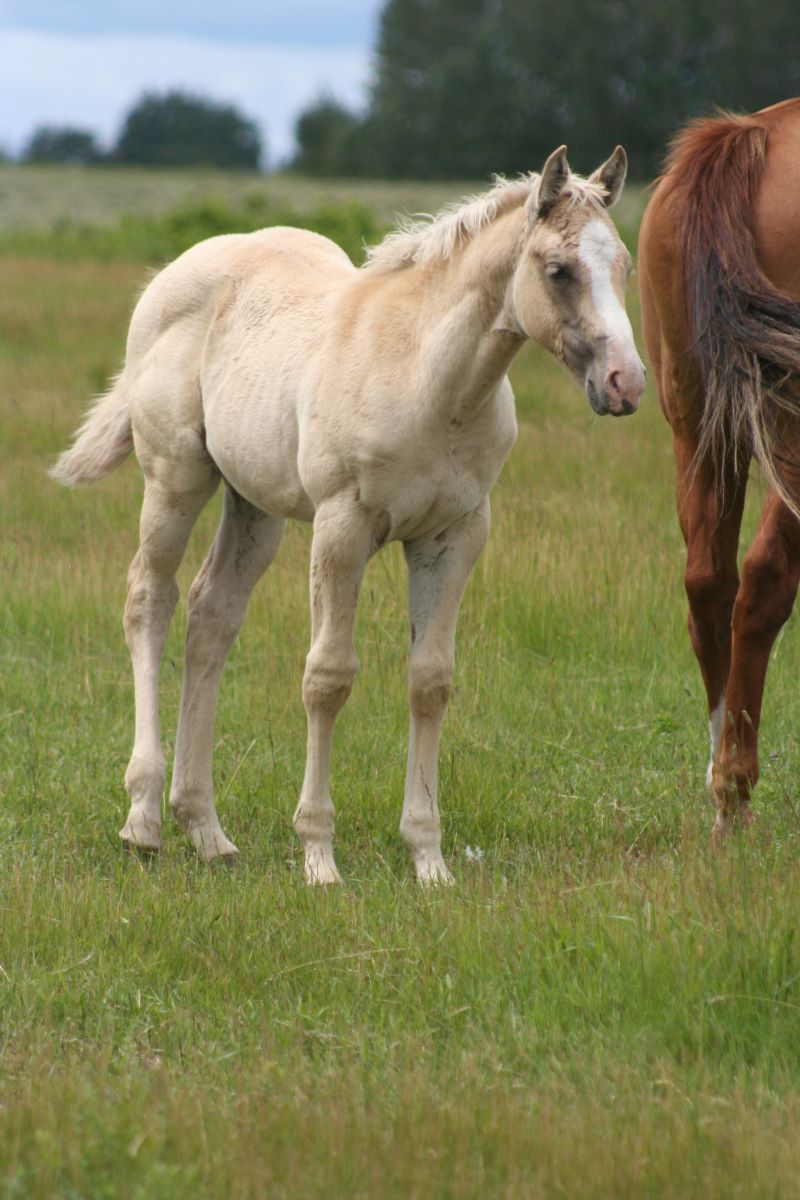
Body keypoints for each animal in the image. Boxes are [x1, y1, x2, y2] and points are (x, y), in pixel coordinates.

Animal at [53, 145, 645, 884]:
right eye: (559, 270)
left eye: (625, 266)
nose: (626, 383)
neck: (431, 383)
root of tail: (175, 272)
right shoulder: (343, 526)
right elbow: (327, 677)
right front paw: (319, 857)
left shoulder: (456, 534)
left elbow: (430, 681)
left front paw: (429, 860)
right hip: (175, 479)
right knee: (149, 602)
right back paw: (144, 820)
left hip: (255, 505)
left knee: (211, 616)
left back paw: (207, 830)